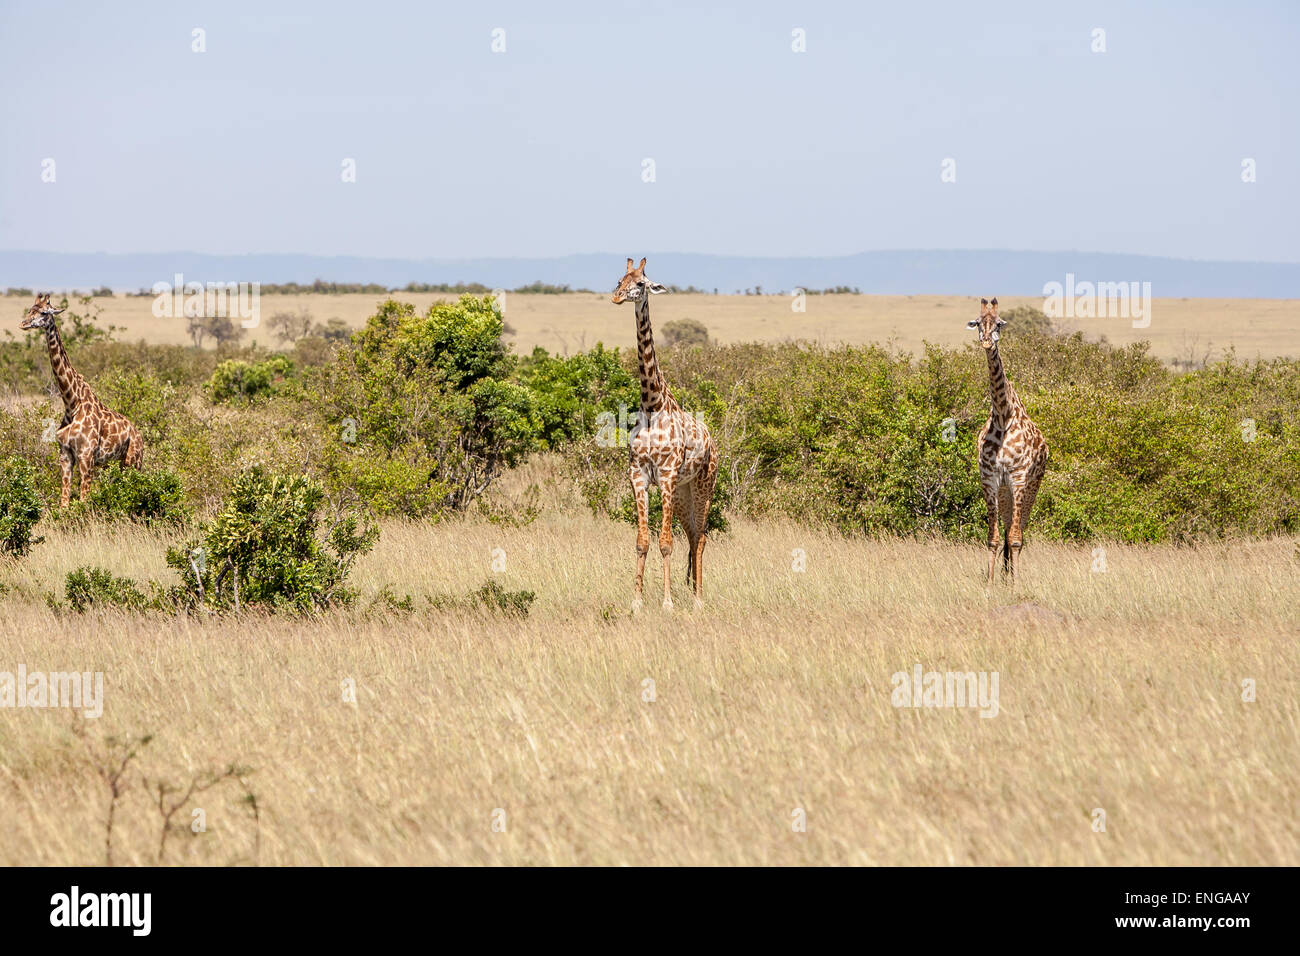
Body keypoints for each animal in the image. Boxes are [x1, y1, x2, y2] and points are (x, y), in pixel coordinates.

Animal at [21, 294, 145, 508]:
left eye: (43, 312)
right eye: (30, 310)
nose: (23, 323)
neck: (71, 403)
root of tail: (140, 436)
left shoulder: (86, 456)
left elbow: (84, 500)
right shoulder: (65, 455)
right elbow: (64, 503)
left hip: (133, 461)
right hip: (115, 463)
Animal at [612, 257, 719, 612]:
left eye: (641, 283)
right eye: (620, 279)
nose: (617, 297)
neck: (652, 404)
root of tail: (712, 440)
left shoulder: (668, 476)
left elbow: (666, 542)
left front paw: (668, 603)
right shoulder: (639, 475)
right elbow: (643, 541)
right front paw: (636, 601)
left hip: (703, 486)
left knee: (700, 537)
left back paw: (698, 599)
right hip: (685, 493)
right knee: (693, 535)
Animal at [969, 297, 1048, 583]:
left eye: (999, 324)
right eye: (978, 323)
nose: (986, 342)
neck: (1003, 416)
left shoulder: (1019, 477)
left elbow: (1015, 538)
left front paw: (1015, 585)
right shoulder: (990, 479)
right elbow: (993, 537)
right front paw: (992, 583)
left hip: (1033, 485)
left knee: (1019, 531)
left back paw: (1012, 575)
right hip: (1005, 492)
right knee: (1005, 529)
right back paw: (1004, 574)